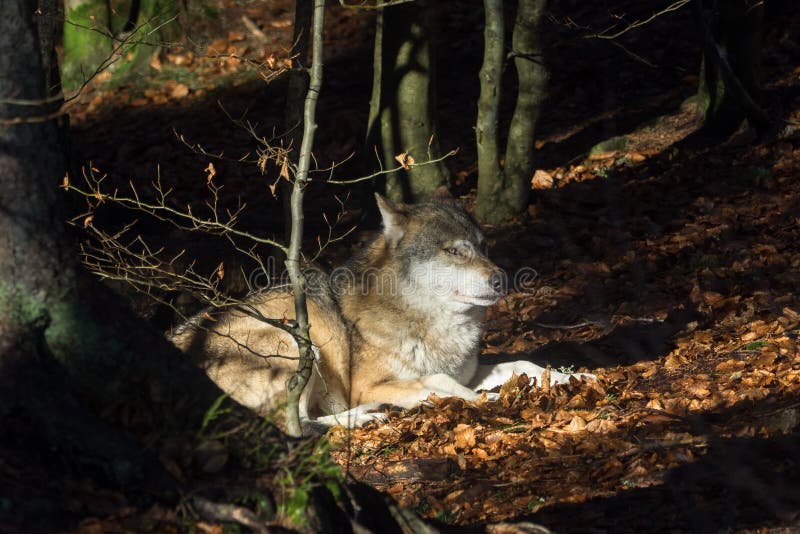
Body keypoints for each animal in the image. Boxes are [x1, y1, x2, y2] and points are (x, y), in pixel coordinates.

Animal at [171, 189, 592, 427]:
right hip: (297, 343)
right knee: (302, 425)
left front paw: (574, 376)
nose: (501, 279)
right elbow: (444, 383)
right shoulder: (369, 384)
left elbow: (522, 364)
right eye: (454, 251)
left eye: (484, 247)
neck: (426, 322)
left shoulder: (470, 370)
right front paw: (490, 400)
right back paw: (363, 416)